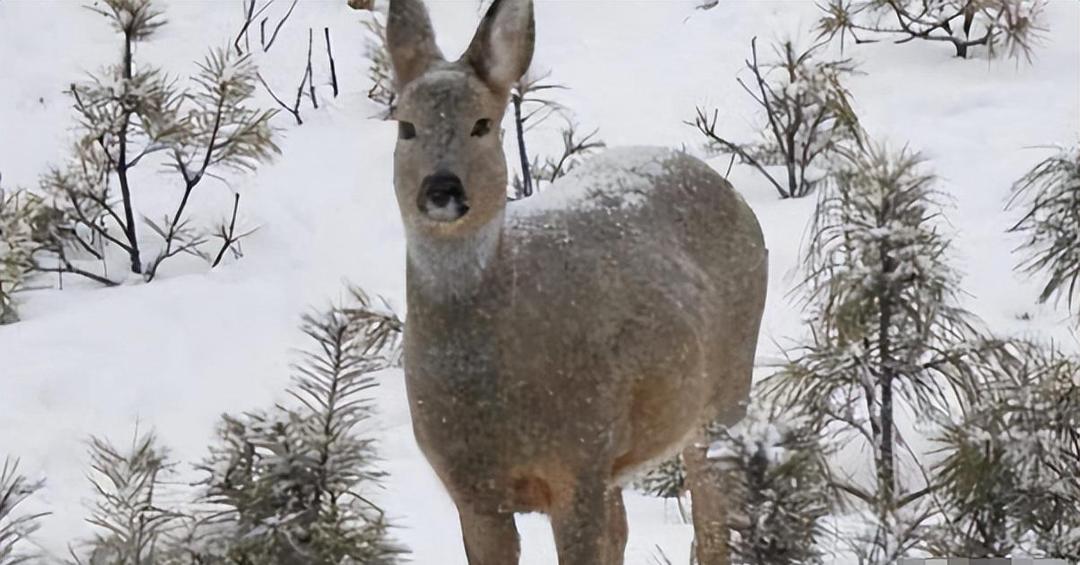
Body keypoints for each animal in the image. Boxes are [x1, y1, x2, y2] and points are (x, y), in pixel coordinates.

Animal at [384, 0, 768, 563]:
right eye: (406, 126)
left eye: (483, 124)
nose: (441, 188)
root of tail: (724, 185)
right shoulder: (471, 490)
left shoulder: (578, 457)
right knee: (627, 527)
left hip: (725, 390)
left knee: (714, 521)